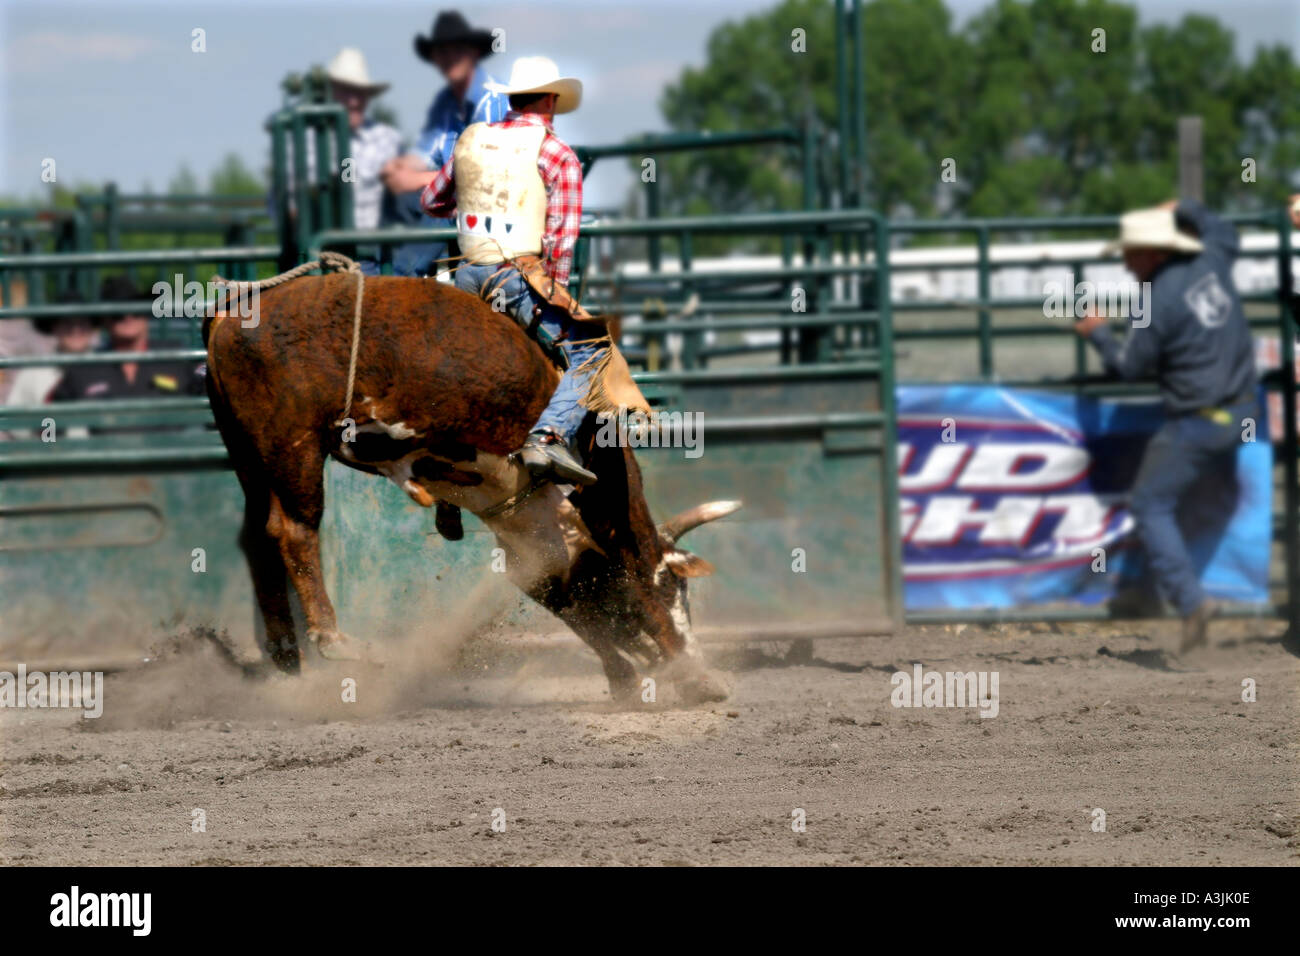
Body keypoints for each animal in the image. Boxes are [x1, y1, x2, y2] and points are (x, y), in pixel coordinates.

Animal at [203, 270, 735, 704]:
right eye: (678, 588)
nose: (692, 658)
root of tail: (230, 314)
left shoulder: (531, 550)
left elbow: (568, 606)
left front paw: (625, 678)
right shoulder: (605, 502)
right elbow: (636, 574)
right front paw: (695, 677)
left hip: (248, 455)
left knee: (257, 539)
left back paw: (284, 655)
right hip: (294, 444)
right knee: (293, 530)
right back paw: (337, 642)